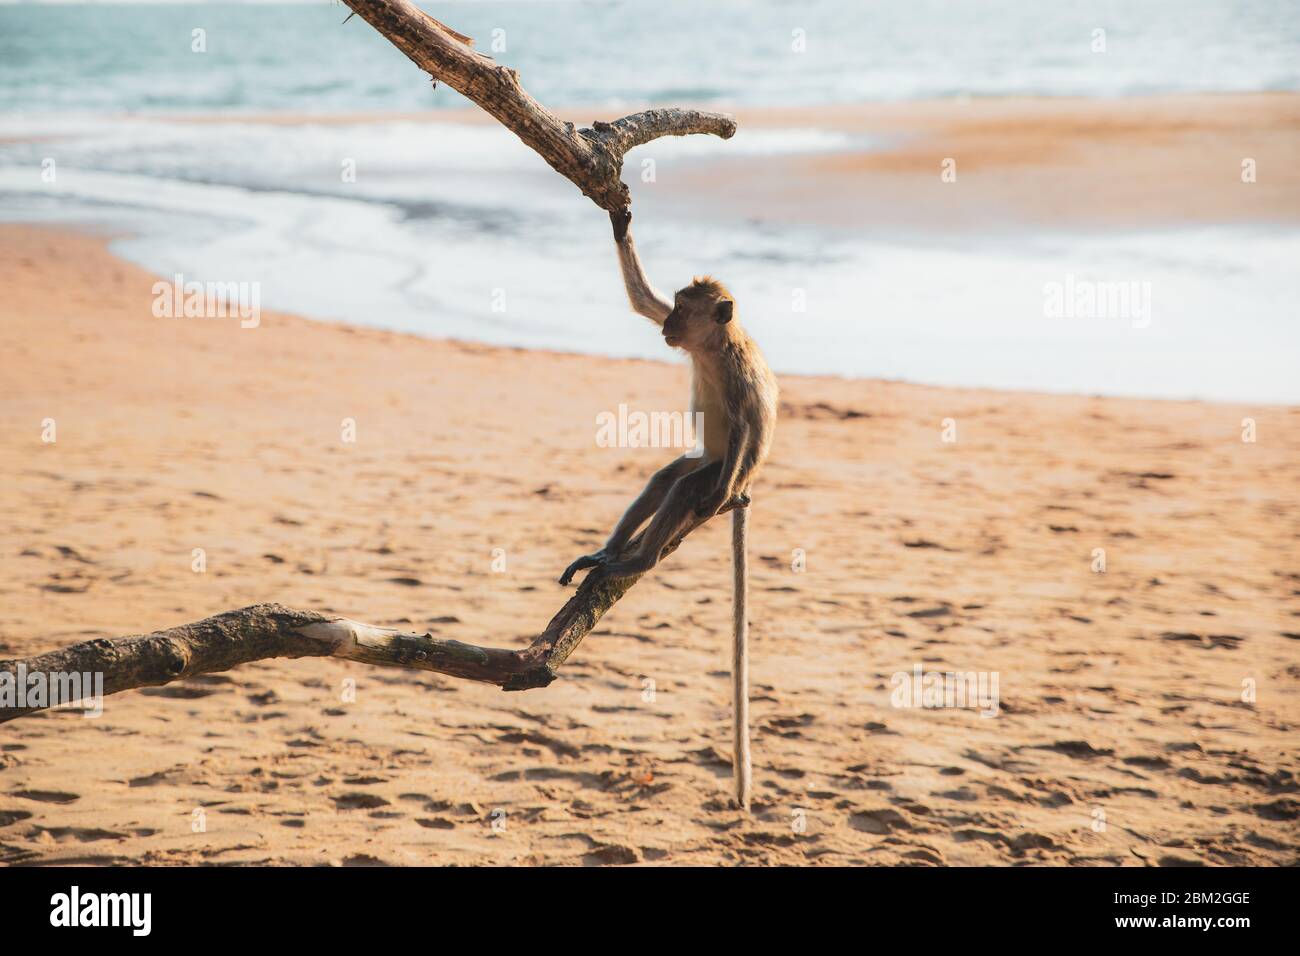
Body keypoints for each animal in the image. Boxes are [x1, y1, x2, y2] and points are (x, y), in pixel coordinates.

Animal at [559, 208, 778, 809]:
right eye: (675, 306)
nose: (670, 326)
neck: (713, 348)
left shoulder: (740, 375)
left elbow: (748, 424)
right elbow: (641, 301)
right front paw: (619, 220)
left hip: (722, 468)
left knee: (690, 487)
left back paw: (640, 558)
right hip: (704, 460)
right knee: (666, 480)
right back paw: (606, 555)